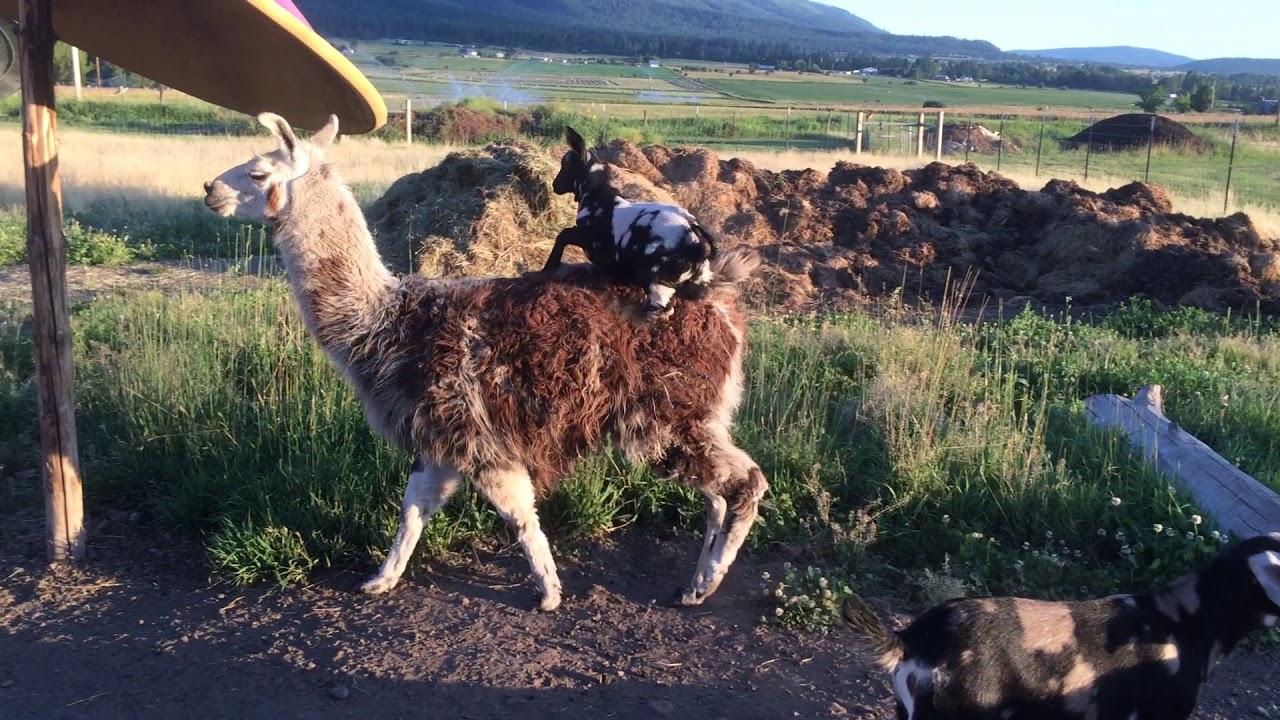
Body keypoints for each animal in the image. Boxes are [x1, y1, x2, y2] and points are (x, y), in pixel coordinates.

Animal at [544, 126, 718, 317]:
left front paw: (549, 266)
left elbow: (563, 234)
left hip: (656, 280)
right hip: (697, 282)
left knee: (663, 309)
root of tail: (697, 238)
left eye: (566, 164)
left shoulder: (589, 238)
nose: (555, 185)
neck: (598, 196)